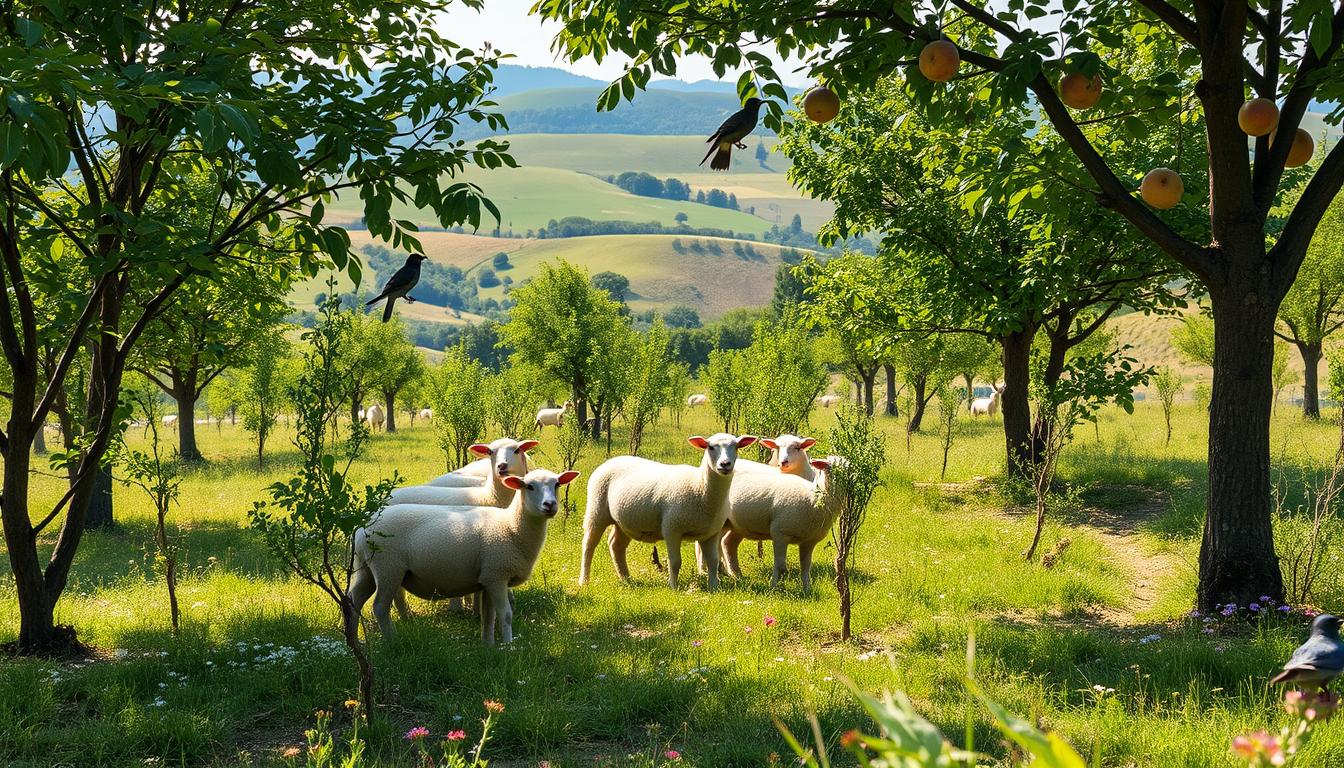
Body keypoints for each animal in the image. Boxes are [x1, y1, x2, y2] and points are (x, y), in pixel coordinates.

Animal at [350, 468, 579, 643]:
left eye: (557, 484)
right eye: (529, 486)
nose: (550, 505)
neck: (511, 526)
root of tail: (361, 530)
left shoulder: (487, 578)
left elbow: (488, 617)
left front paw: (488, 646)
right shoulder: (497, 575)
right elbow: (505, 615)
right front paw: (509, 646)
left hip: (367, 570)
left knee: (353, 601)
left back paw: (353, 639)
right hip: (388, 568)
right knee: (380, 607)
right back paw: (393, 641)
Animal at [581, 433, 756, 592]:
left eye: (736, 446)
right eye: (711, 447)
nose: (725, 464)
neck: (699, 487)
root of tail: (611, 460)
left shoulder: (711, 533)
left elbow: (713, 561)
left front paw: (714, 588)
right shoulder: (672, 528)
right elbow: (675, 561)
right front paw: (673, 587)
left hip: (624, 521)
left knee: (616, 545)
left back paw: (626, 579)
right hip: (596, 509)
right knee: (589, 545)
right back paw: (584, 581)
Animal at [720, 457, 844, 590]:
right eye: (834, 468)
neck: (813, 499)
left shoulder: (809, 541)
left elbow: (806, 567)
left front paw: (807, 589)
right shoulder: (780, 533)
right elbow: (780, 564)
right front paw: (773, 585)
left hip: (737, 525)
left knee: (728, 543)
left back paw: (736, 574)